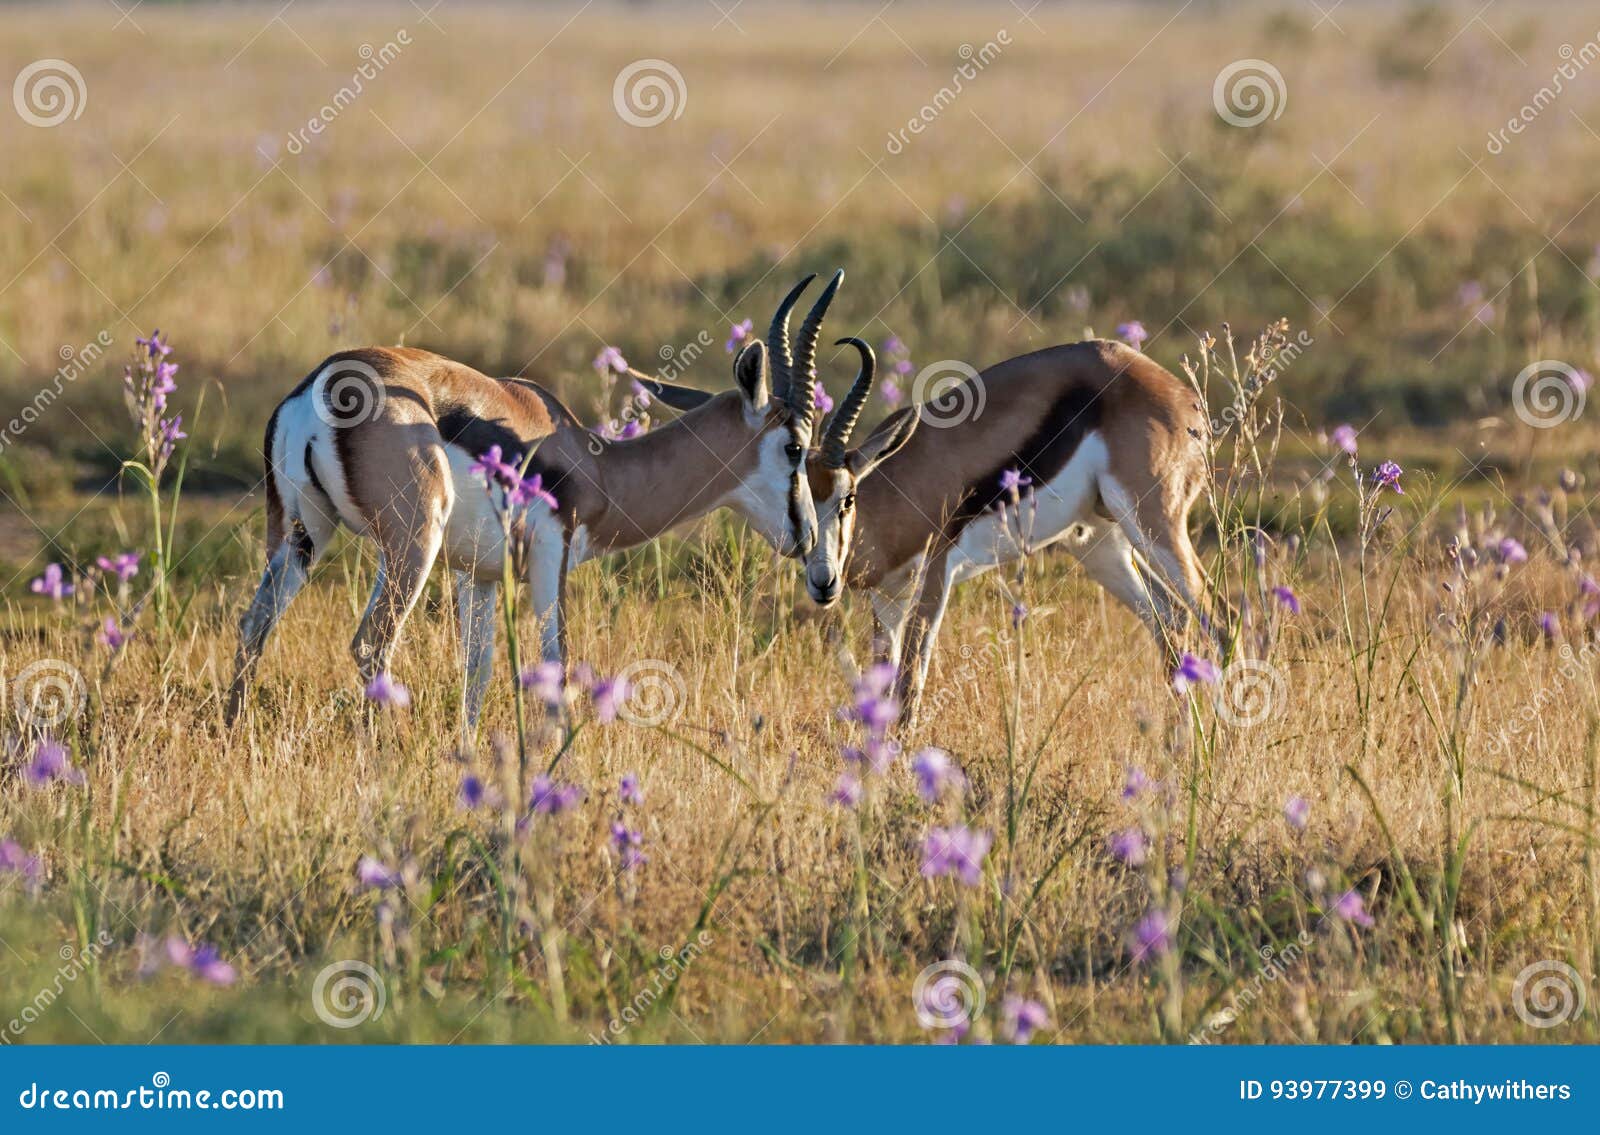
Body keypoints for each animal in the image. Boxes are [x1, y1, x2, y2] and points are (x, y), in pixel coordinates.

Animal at [225, 271, 846, 727]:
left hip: (301, 535)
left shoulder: (476, 574)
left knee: (254, 625)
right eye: (795, 447)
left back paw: (234, 736)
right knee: (371, 644)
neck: (595, 463)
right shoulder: (551, 558)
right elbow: (557, 665)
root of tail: (327, 380)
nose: (810, 543)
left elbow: (475, 672)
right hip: (411, 545)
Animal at [803, 337, 1212, 721]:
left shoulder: (935, 575)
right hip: (1102, 546)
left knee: (1213, 609)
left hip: (1153, 522)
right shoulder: (888, 599)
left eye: (846, 498)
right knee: (1171, 618)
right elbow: (883, 685)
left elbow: (911, 678)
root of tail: (1183, 394)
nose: (824, 581)